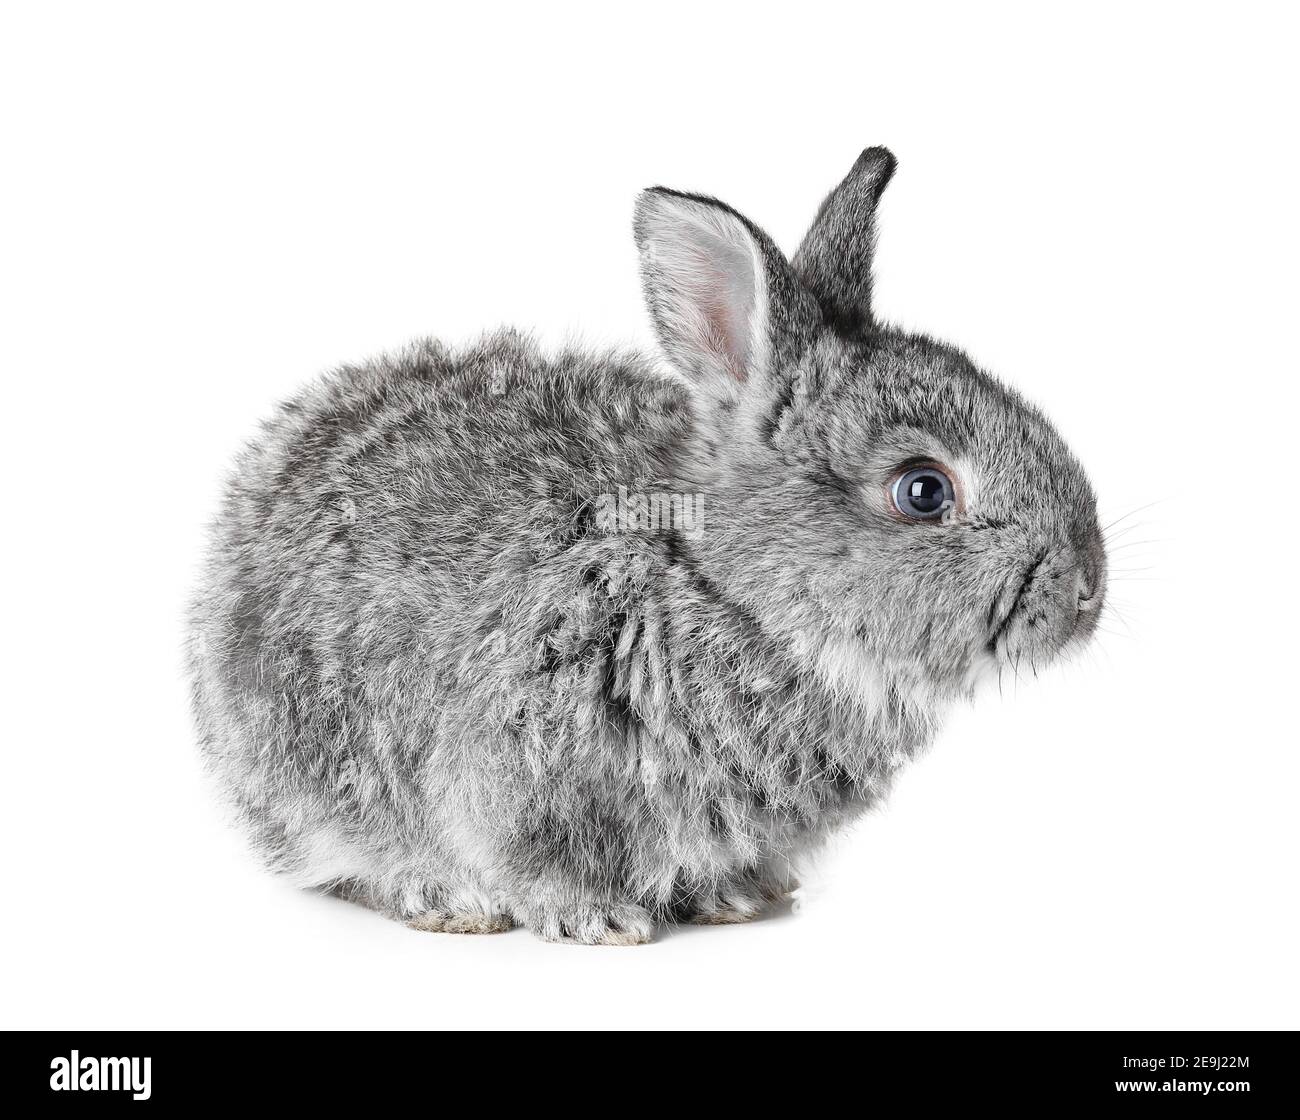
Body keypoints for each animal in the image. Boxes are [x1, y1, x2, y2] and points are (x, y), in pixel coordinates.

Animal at [188, 147, 1106, 945]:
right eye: (923, 490)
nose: (1086, 590)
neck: (718, 585)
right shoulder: (520, 765)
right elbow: (538, 856)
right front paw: (596, 921)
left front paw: (734, 897)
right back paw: (443, 897)